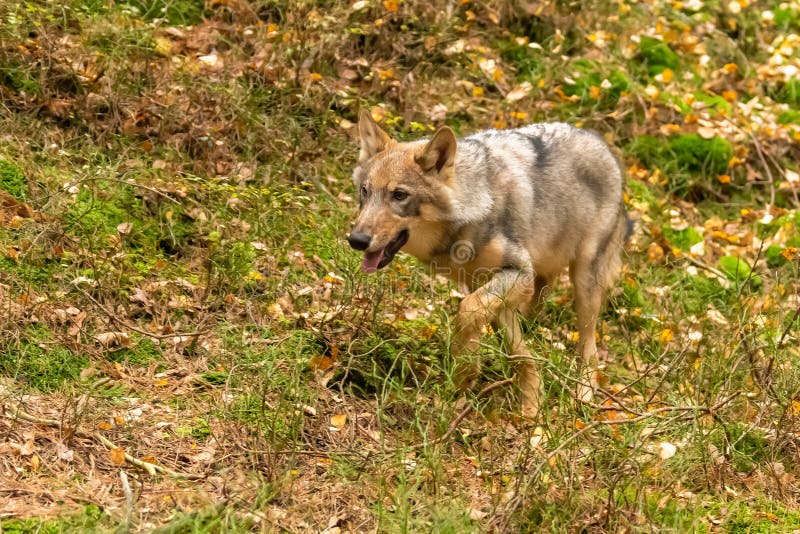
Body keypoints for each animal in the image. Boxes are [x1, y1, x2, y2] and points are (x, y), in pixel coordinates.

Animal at [347, 111, 628, 419]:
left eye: (399, 195)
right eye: (365, 191)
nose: (356, 240)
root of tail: (600, 142)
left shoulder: (516, 273)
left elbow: (468, 312)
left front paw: (466, 372)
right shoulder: (485, 284)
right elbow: (517, 350)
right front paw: (528, 401)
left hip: (584, 281)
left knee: (589, 347)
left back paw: (584, 395)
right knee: (542, 296)